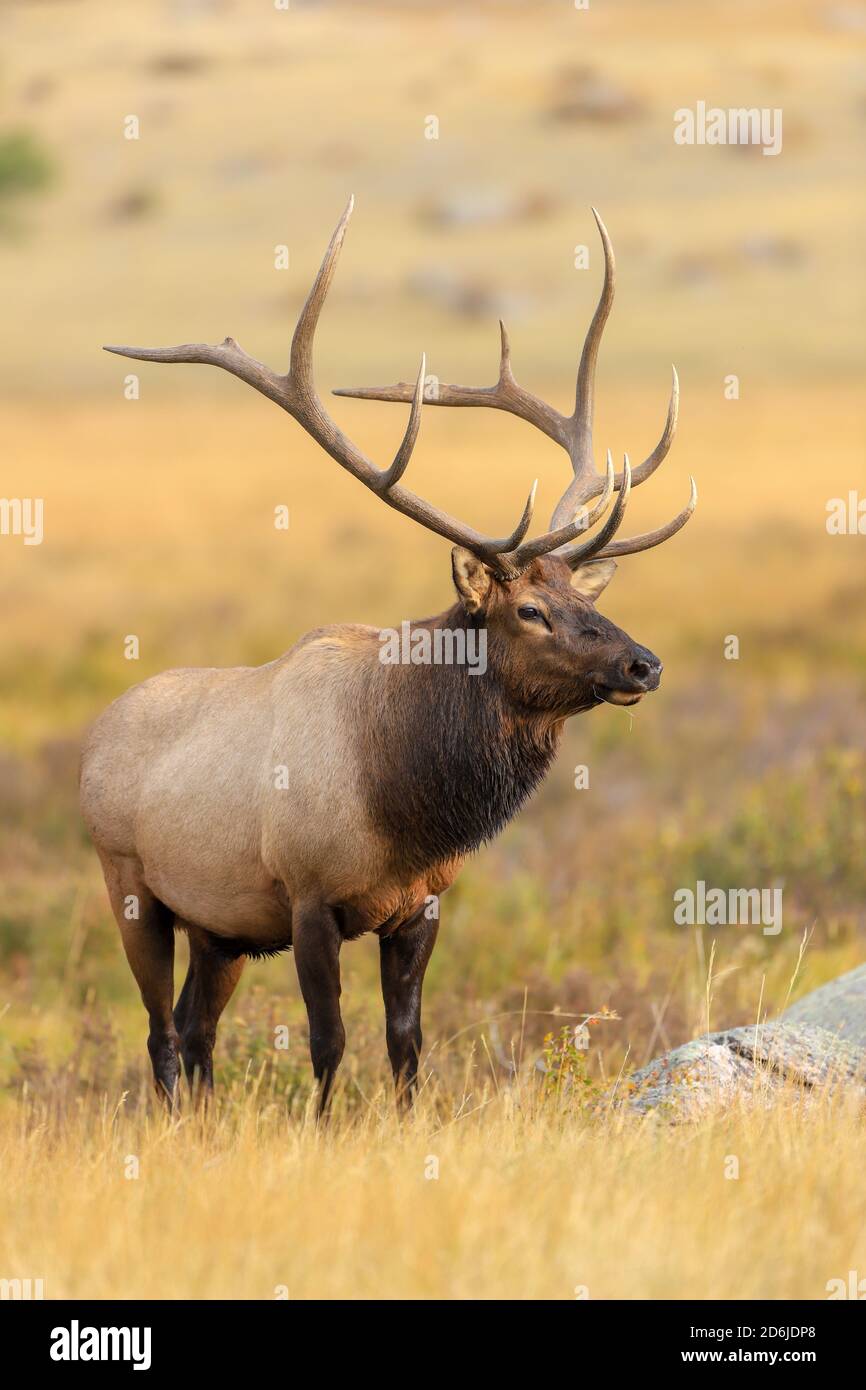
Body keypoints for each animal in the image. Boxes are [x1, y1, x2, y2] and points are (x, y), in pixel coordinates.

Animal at [80, 199, 696, 1112]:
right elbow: (329, 1040)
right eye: (530, 610)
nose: (642, 665)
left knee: (196, 1028)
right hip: (130, 884)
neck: (403, 802)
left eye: (588, 600)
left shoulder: (420, 906)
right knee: (160, 1031)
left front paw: (411, 1122)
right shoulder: (305, 896)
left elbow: (407, 1042)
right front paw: (324, 1128)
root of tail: (92, 740)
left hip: (220, 927)